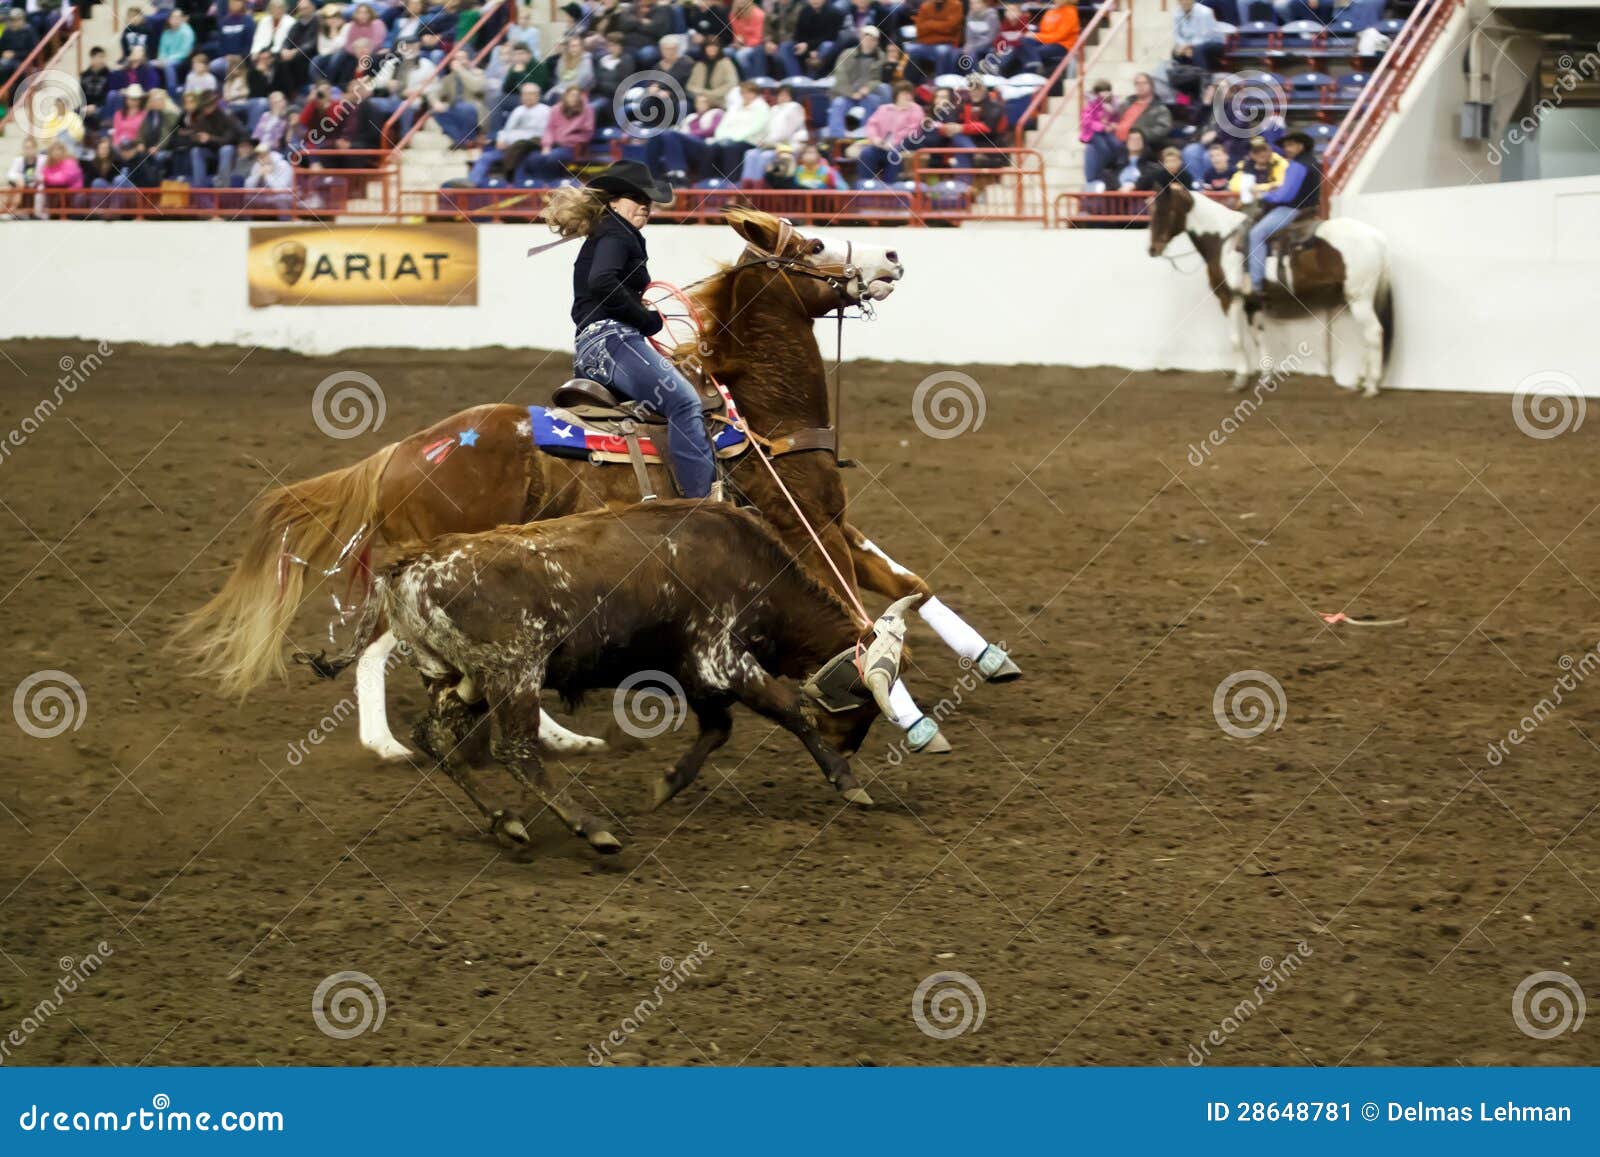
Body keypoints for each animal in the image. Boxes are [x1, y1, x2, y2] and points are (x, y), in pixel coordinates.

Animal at [310, 501, 918, 856]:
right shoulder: (720, 660)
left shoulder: (694, 672)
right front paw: (847, 779)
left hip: (457, 679)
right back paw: (589, 827)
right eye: (868, 702)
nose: (852, 745)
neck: (747, 563)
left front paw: (665, 785)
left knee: (436, 738)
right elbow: (789, 709)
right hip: (515, 672)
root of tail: (410, 564)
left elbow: (717, 729)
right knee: (516, 751)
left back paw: (505, 821)